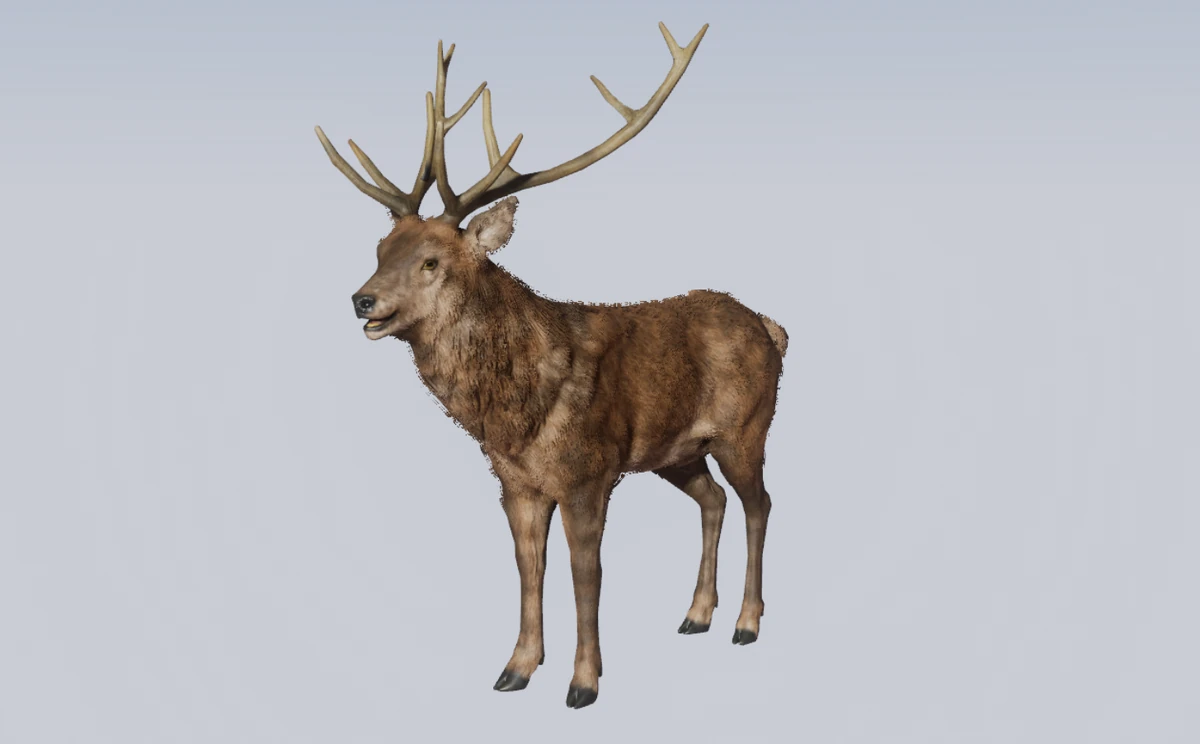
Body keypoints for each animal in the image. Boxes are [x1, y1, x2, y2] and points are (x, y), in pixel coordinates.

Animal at [314, 22, 787, 709]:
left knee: (760, 504)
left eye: (432, 261)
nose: (361, 300)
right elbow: (527, 567)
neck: (511, 415)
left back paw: (746, 623)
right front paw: (515, 667)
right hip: (677, 452)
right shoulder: (515, 482)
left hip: (744, 429)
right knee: (715, 500)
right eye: (380, 248)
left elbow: (585, 574)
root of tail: (773, 329)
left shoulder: (589, 472)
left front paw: (583, 683)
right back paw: (696, 614)